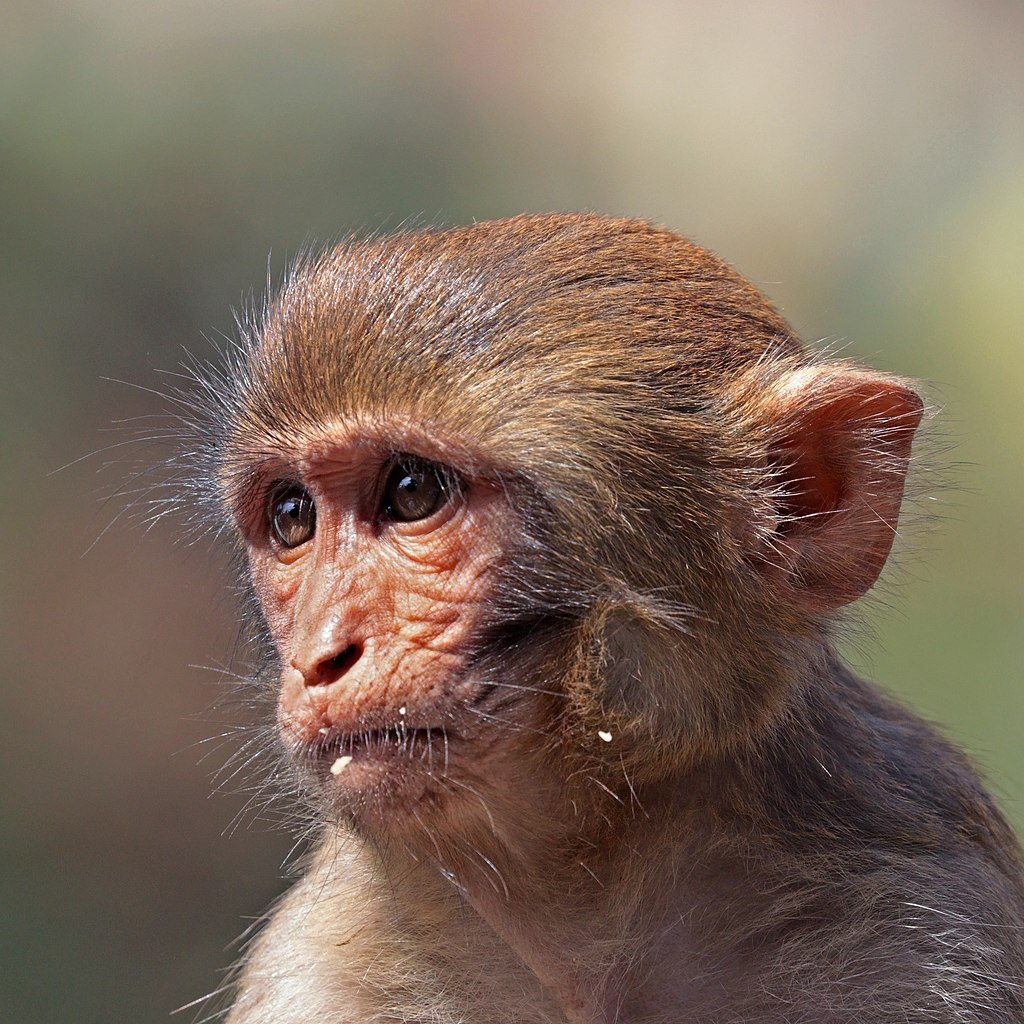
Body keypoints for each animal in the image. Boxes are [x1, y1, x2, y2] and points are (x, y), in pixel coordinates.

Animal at [178, 214, 1024, 1023]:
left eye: (413, 492)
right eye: (293, 516)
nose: (320, 657)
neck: (588, 908)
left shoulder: (927, 913)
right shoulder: (310, 971)